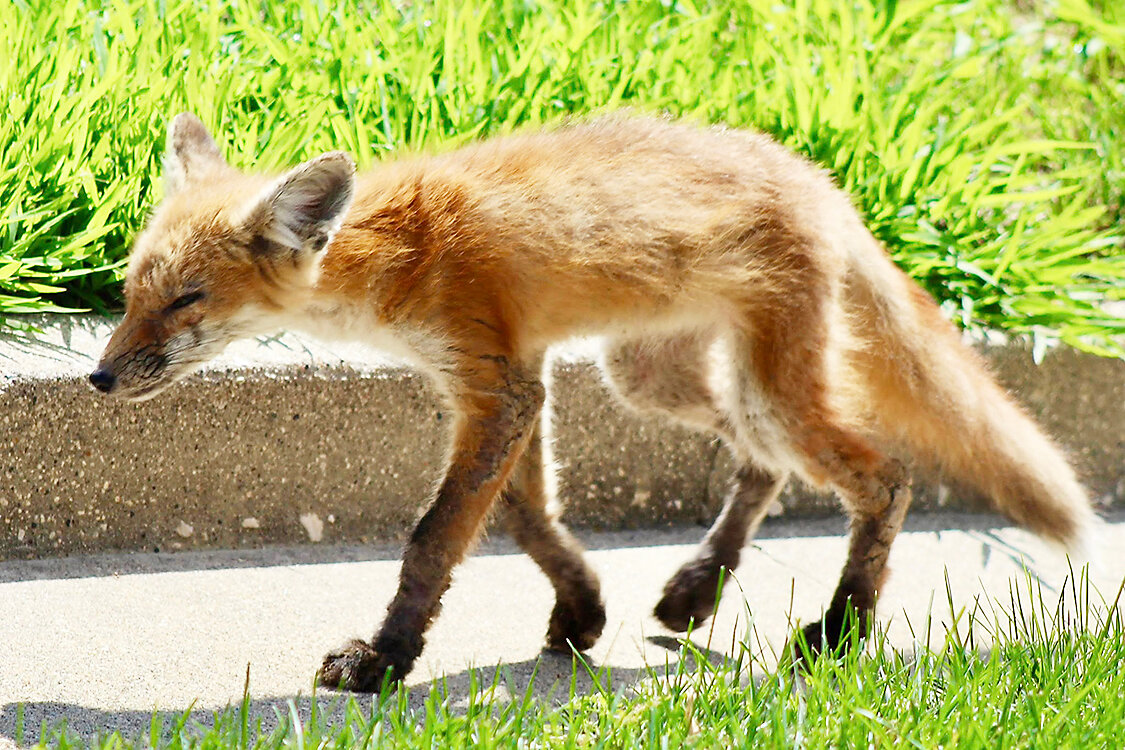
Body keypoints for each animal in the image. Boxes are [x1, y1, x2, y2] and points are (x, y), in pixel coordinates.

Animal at [91, 112, 1094, 691]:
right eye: (131, 292)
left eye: (186, 301)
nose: (98, 379)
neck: (392, 252)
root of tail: (817, 178)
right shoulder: (514, 383)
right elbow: (531, 522)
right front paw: (580, 615)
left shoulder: (495, 387)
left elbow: (433, 541)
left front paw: (386, 659)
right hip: (650, 376)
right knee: (761, 465)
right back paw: (697, 587)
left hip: (769, 389)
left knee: (883, 476)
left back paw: (841, 628)